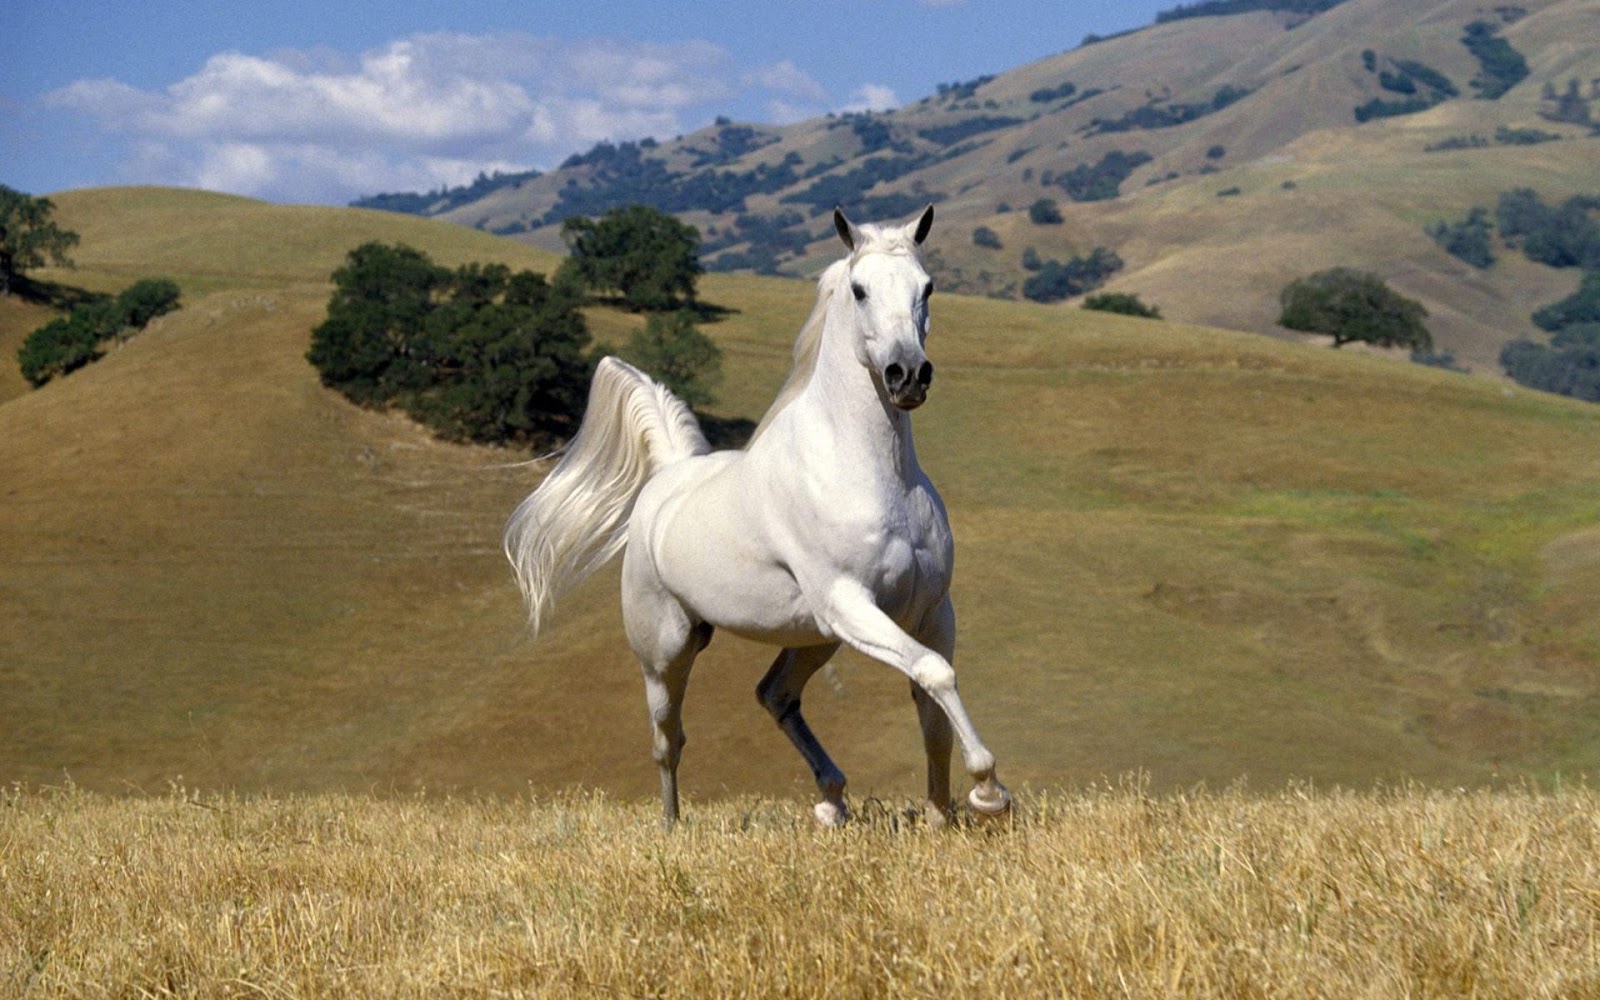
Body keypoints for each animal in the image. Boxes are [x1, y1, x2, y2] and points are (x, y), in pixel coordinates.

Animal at [504, 205, 1011, 827]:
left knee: (775, 694)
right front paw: (988, 792)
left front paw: (943, 816)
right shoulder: (851, 602)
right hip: (668, 651)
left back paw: (832, 800)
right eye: (860, 289)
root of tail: (669, 477)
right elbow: (935, 674)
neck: (873, 473)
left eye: (928, 287)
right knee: (668, 741)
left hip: (816, 637)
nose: (907, 374)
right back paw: (673, 828)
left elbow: (931, 702)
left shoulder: (931, 610)